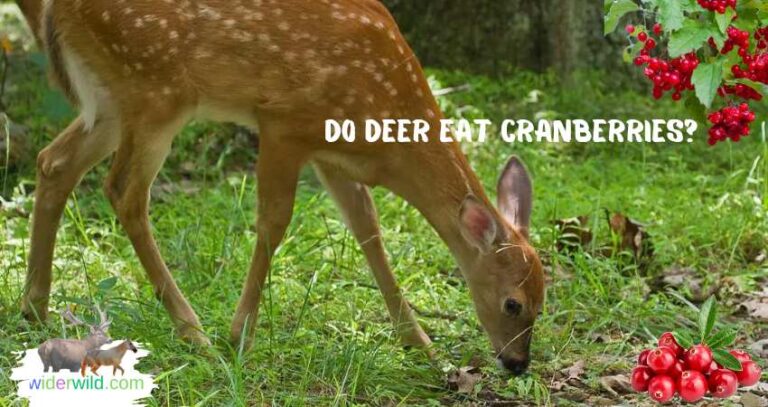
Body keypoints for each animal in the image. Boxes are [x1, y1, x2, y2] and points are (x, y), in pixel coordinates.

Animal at [15, 0, 545, 374]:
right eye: (513, 303)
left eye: (543, 303)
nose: (517, 364)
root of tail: (56, 10)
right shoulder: (284, 123)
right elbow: (274, 222)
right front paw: (240, 335)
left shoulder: (333, 157)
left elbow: (369, 230)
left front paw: (421, 345)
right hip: (156, 92)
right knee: (124, 192)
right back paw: (193, 333)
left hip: (110, 101)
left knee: (53, 162)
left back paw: (34, 310)